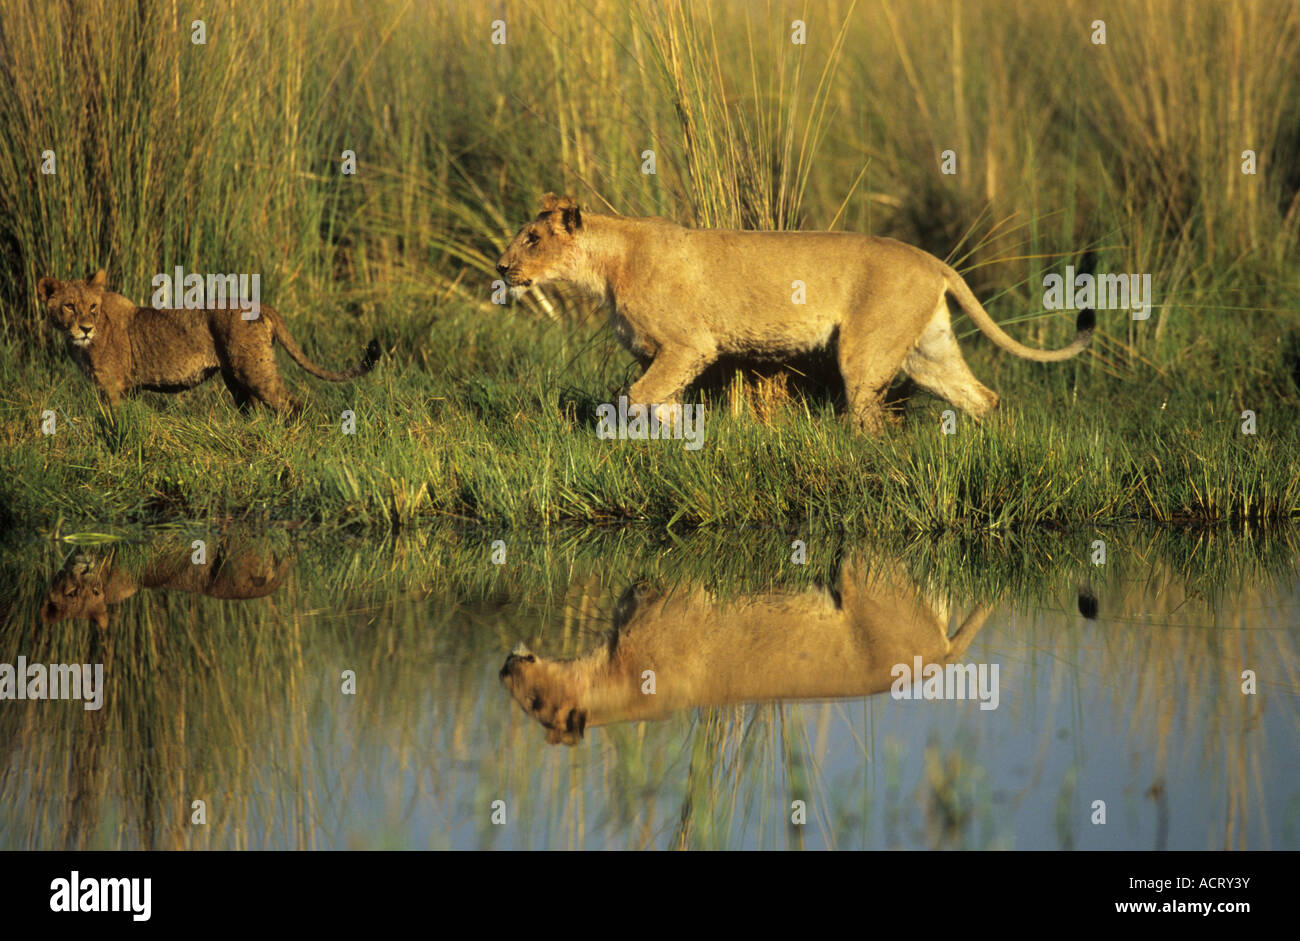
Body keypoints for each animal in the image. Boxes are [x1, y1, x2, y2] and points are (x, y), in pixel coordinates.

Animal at [38, 270, 380, 412]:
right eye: (69, 306)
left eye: (92, 307)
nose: (85, 328)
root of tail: (258, 303)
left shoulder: (112, 387)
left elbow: (113, 424)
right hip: (235, 379)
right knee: (254, 411)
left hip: (254, 370)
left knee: (292, 404)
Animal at [497, 194, 1094, 433]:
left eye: (532, 238)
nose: (502, 267)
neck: (605, 265)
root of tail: (933, 258)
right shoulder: (667, 355)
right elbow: (660, 403)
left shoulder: (689, 345)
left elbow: (637, 396)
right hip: (927, 352)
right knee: (982, 396)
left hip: (864, 352)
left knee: (872, 418)